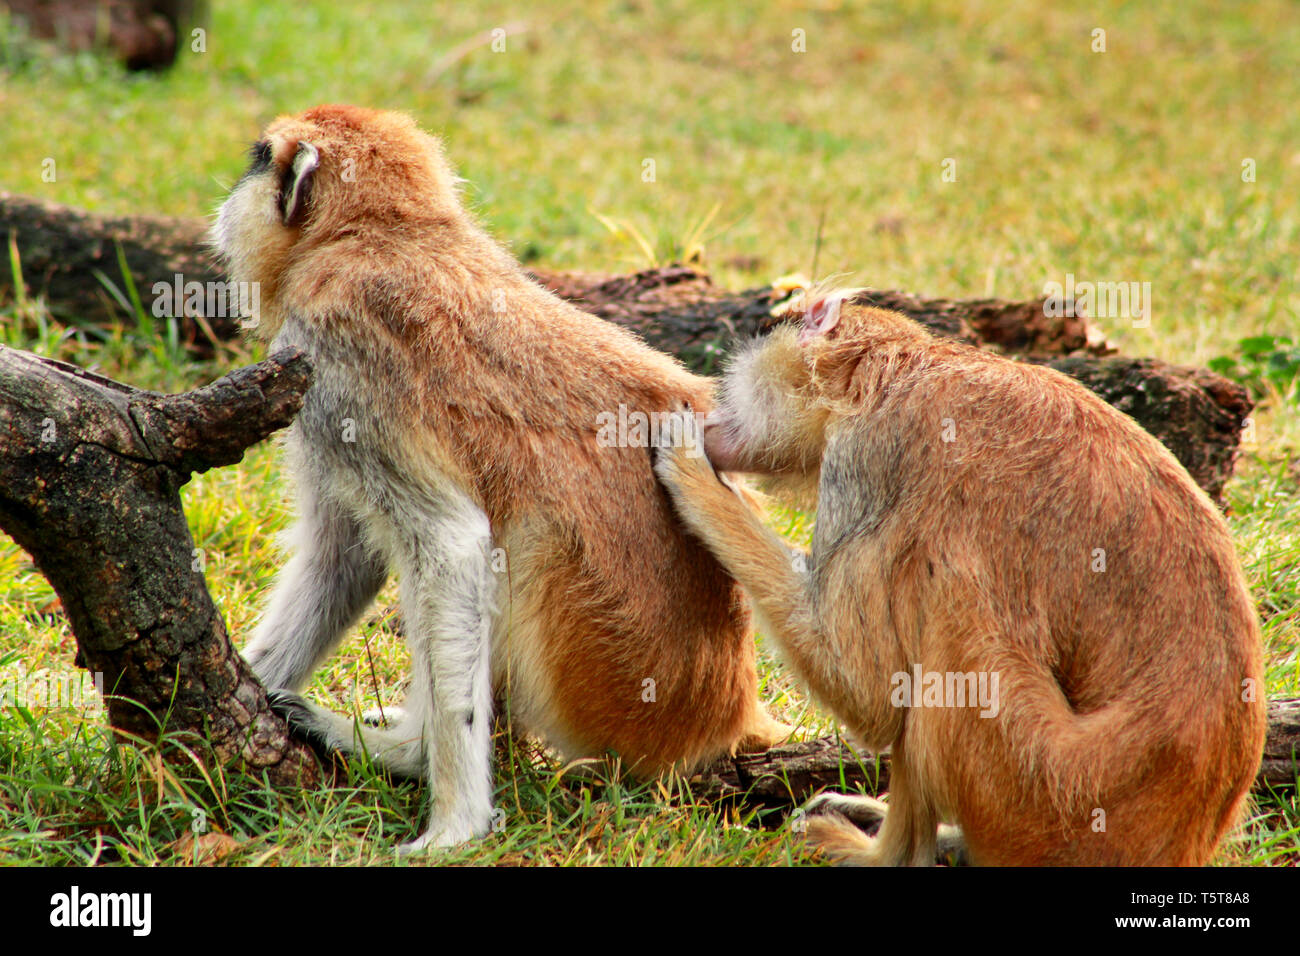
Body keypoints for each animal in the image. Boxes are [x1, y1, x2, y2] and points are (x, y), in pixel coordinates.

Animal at [209, 104, 787, 853]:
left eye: (258, 160)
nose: (227, 203)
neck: (382, 233)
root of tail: (731, 709)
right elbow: (346, 557)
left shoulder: (336, 366)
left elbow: (451, 547)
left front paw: (453, 826)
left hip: (603, 682)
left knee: (515, 544)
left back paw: (407, 752)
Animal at [653, 290, 1267, 865]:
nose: (715, 410)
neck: (889, 369)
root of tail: (1180, 841)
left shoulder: (871, 454)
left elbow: (871, 694)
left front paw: (690, 469)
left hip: (1046, 794)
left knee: (941, 601)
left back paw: (886, 856)